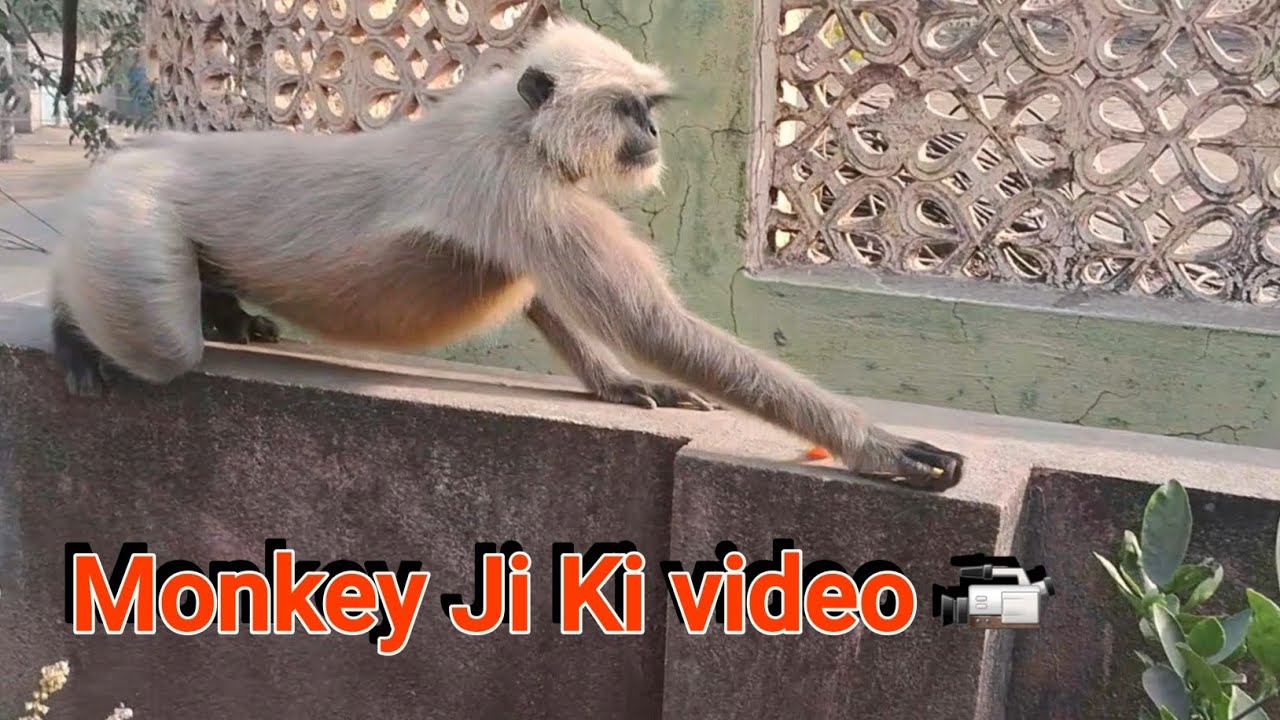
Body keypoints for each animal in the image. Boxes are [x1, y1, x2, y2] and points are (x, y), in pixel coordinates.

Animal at [47, 19, 965, 490]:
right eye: (629, 108)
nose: (652, 133)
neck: (516, 127)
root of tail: (144, 149)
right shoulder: (516, 185)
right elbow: (649, 323)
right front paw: (880, 447)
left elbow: (554, 302)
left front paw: (623, 386)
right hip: (126, 213)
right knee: (159, 341)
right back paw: (70, 327)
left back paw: (223, 308)